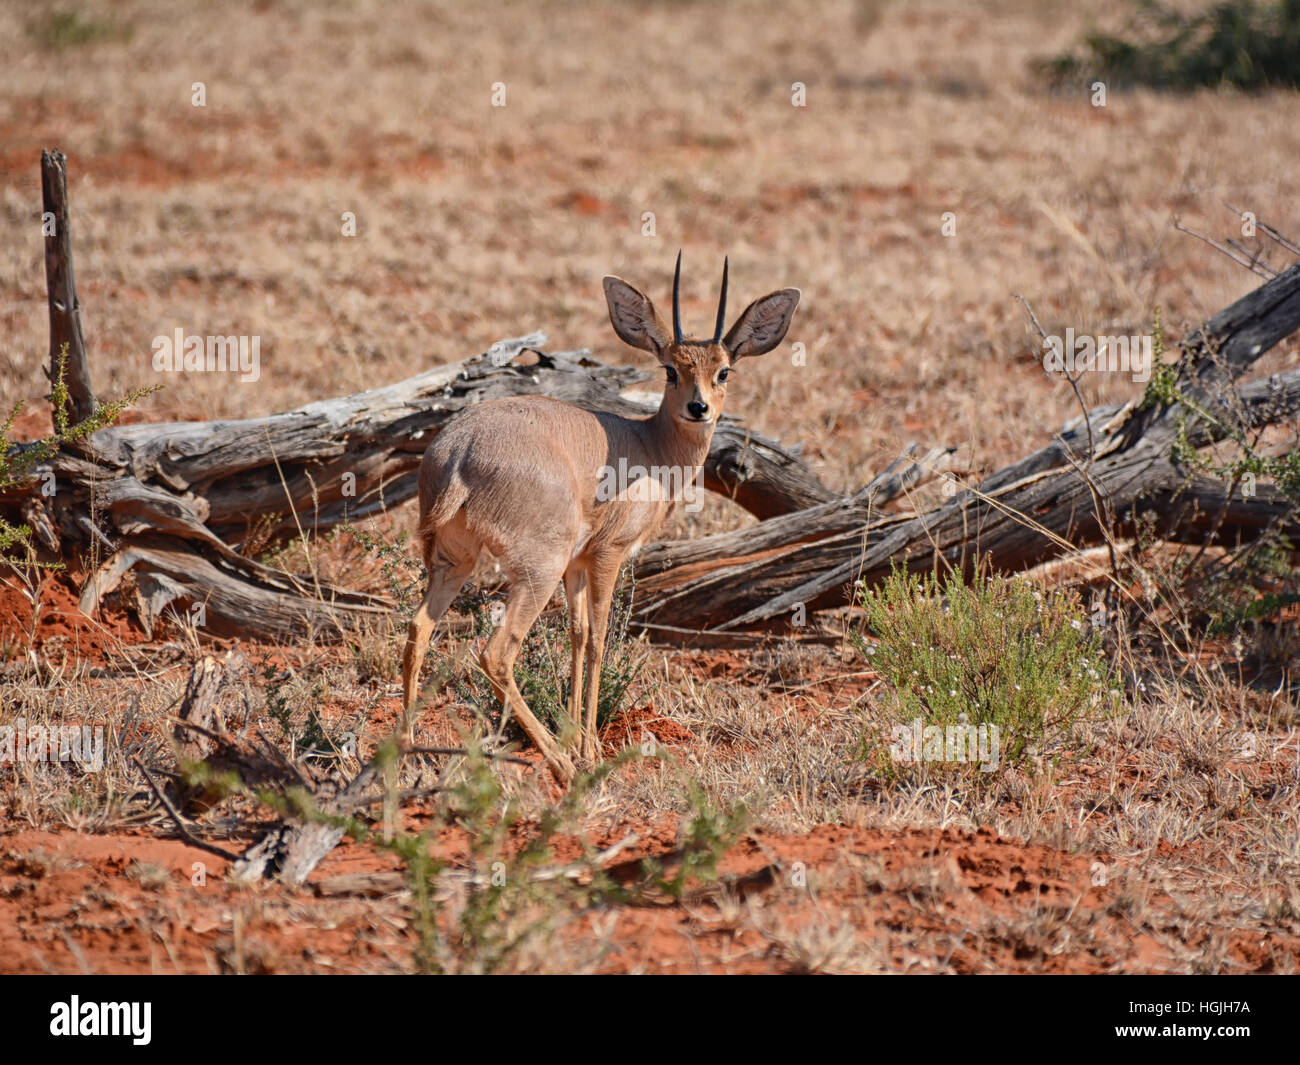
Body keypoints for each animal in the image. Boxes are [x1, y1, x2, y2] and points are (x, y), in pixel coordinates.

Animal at [400, 255, 799, 783]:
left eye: (725, 371)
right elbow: (598, 639)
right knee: (496, 653)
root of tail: (458, 453)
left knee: (418, 630)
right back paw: (562, 764)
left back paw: (406, 755)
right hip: (535, 570)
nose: (699, 408)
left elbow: (576, 634)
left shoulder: (576, 564)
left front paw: (579, 735)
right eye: (670, 369)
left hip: (454, 560)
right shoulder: (608, 555)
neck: (650, 448)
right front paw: (588, 749)